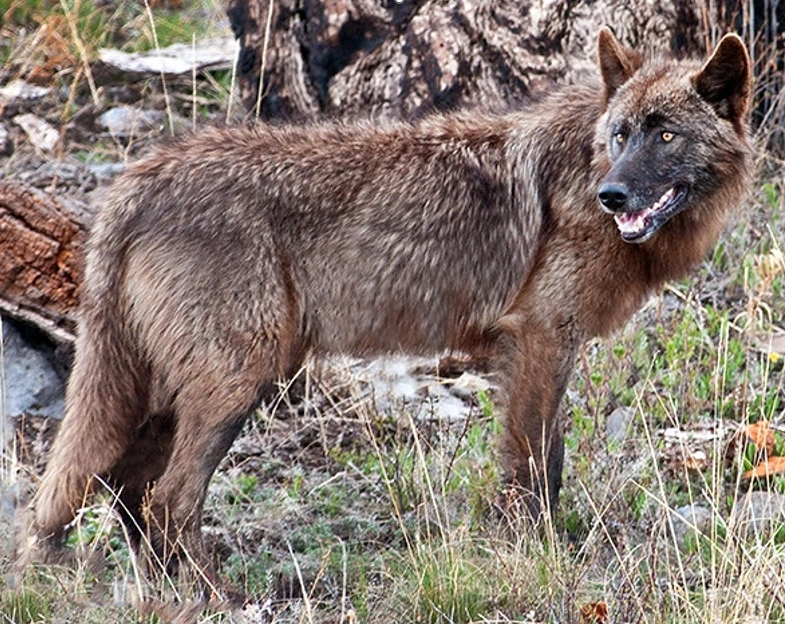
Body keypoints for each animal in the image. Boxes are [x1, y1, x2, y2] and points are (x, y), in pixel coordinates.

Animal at [32, 28, 752, 590]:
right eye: (621, 134)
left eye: (664, 135)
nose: (613, 195)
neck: (582, 167)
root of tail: (135, 179)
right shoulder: (539, 344)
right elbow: (532, 471)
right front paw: (542, 559)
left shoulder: (547, 351)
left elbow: (545, 463)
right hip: (236, 385)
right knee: (167, 500)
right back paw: (216, 600)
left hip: (171, 395)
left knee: (125, 490)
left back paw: (165, 596)